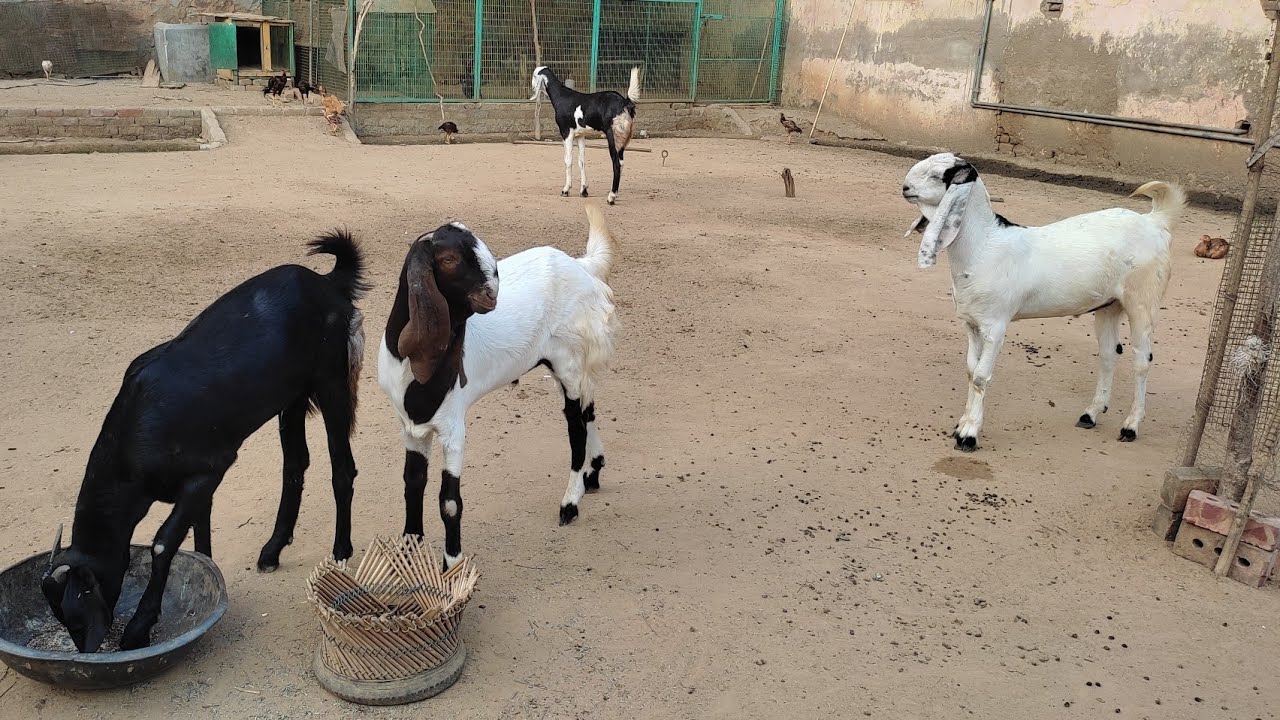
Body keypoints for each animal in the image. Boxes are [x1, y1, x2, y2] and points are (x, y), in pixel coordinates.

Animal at [43, 233, 368, 652]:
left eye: (77, 618)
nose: (86, 651)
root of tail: (327, 283)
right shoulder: (197, 485)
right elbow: (199, 526)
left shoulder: (210, 469)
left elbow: (164, 542)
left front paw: (138, 629)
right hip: (291, 398)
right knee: (296, 463)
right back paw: (273, 549)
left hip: (331, 381)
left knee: (342, 466)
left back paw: (341, 551)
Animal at [378, 204, 617, 569]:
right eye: (449, 259)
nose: (492, 294)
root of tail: (580, 265)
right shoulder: (411, 428)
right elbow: (412, 485)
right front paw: (409, 553)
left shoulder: (453, 427)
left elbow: (449, 502)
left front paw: (452, 567)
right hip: (569, 367)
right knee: (588, 410)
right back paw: (593, 474)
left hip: (570, 361)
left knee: (576, 425)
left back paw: (570, 503)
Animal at [531, 66, 640, 205]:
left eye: (534, 75)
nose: (532, 87)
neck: (561, 96)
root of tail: (626, 103)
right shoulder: (580, 135)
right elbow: (581, 161)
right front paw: (583, 190)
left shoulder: (566, 132)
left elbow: (568, 160)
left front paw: (566, 190)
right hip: (623, 137)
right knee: (621, 163)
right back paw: (615, 194)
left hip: (613, 135)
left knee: (616, 164)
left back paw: (611, 197)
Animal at [901, 152, 1185, 451]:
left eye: (938, 175)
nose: (905, 188)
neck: (984, 246)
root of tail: (1155, 221)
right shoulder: (972, 323)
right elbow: (970, 370)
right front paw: (962, 424)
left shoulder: (996, 325)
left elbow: (980, 377)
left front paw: (969, 434)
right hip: (1109, 305)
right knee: (1108, 354)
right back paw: (1091, 414)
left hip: (1143, 300)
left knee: (1141, 361)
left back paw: (1130, 426)